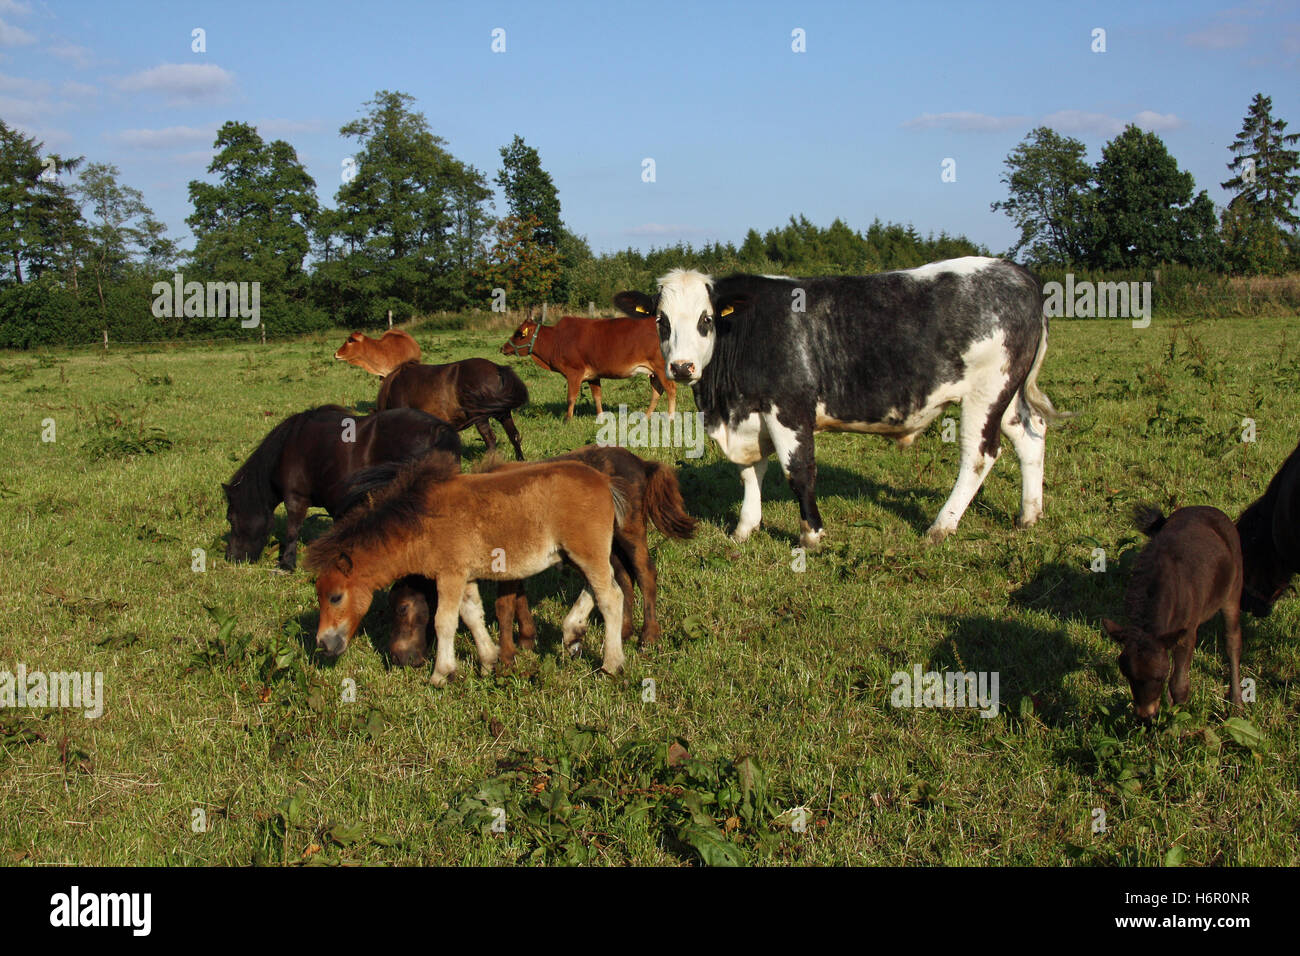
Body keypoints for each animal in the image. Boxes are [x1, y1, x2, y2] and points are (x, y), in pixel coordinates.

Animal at [501, 315, 676, 421]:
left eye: (519, 334)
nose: (503, 348)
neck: (556, 340)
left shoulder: (574, 372)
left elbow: (571, 397)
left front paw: (568, 419)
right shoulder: (593, 375)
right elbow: (597, 396)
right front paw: (600, 417)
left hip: (662, 368)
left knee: (671, 390)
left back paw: (670, 418)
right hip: (654, 373)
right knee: (657, 392)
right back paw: (646, 416)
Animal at [615, 258, 1068, 549]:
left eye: (706, 320)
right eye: (661, 322)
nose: (682, 367)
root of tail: (1018, 273)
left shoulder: (790, 408)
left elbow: (798, 471)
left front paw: (811, 534)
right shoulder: (749, 416)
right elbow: (750, 471)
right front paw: (745, 527)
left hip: (985, 392)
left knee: (979, 454)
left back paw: (941, 527)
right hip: (1008, 394)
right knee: (1030, 435)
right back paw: (1029, 515)